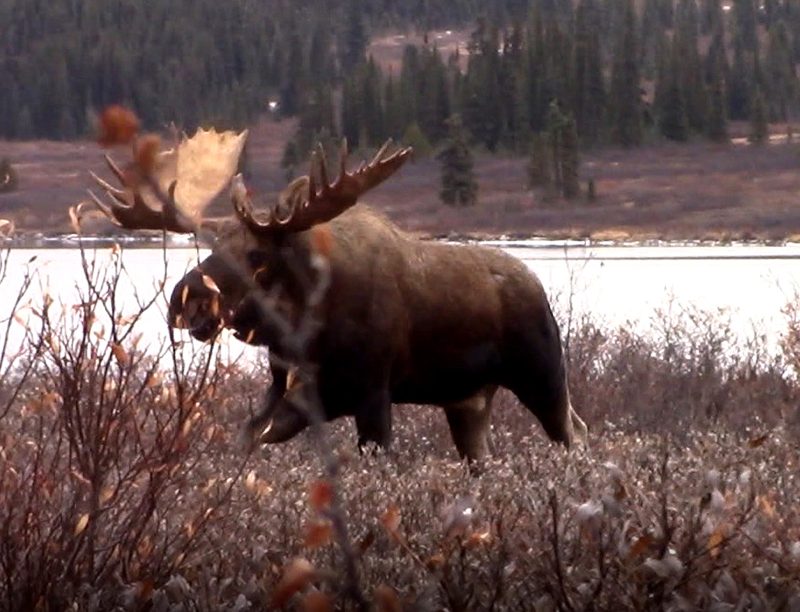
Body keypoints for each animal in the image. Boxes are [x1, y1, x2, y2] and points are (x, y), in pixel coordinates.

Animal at [76, 126, 587, 463]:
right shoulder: (292, 392)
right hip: (468, 401)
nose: (187, 300)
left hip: (542, 374)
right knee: (484, 456)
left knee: (575, 433)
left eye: (257, 254)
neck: (305, 320)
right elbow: (247, 438)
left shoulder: (373, 390)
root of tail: (539, 287)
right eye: (211, 244)